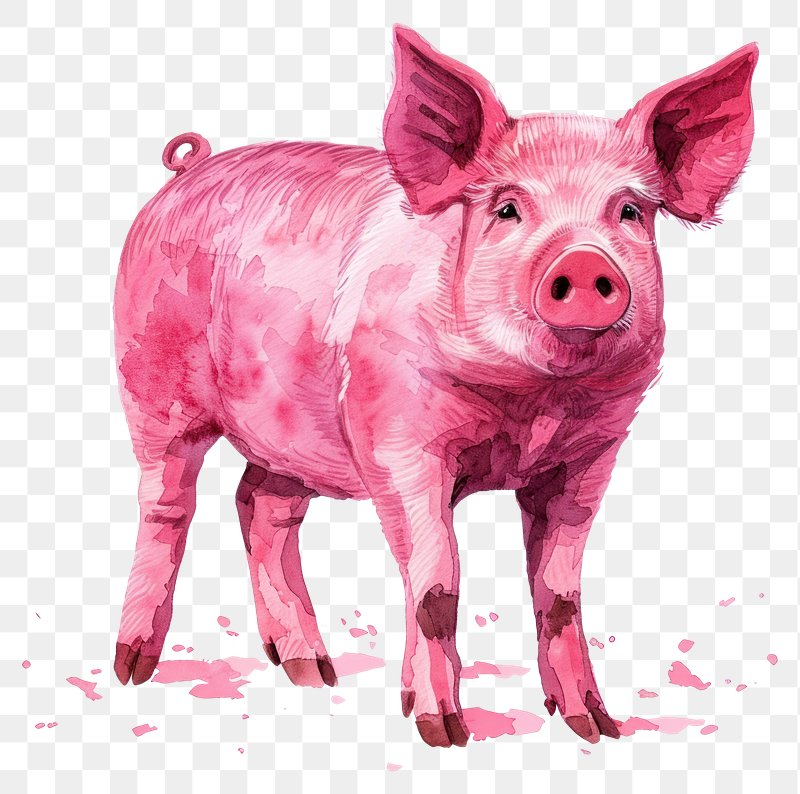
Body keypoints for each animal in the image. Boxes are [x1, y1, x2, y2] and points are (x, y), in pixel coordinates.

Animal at [113, 26, 757, 747]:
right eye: (507, 208)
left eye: (630, 211)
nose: (586, 263)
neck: (536, 402)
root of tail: (187, 172)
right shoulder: (399, 440)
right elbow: (436, 589)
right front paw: (443, 733)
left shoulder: (594, 452)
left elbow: (560, 596)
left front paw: (595, 729)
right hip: (154, 384)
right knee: (167, 504)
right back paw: (132, 669)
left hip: (291, 425)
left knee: (262, 506)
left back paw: (313, 673)